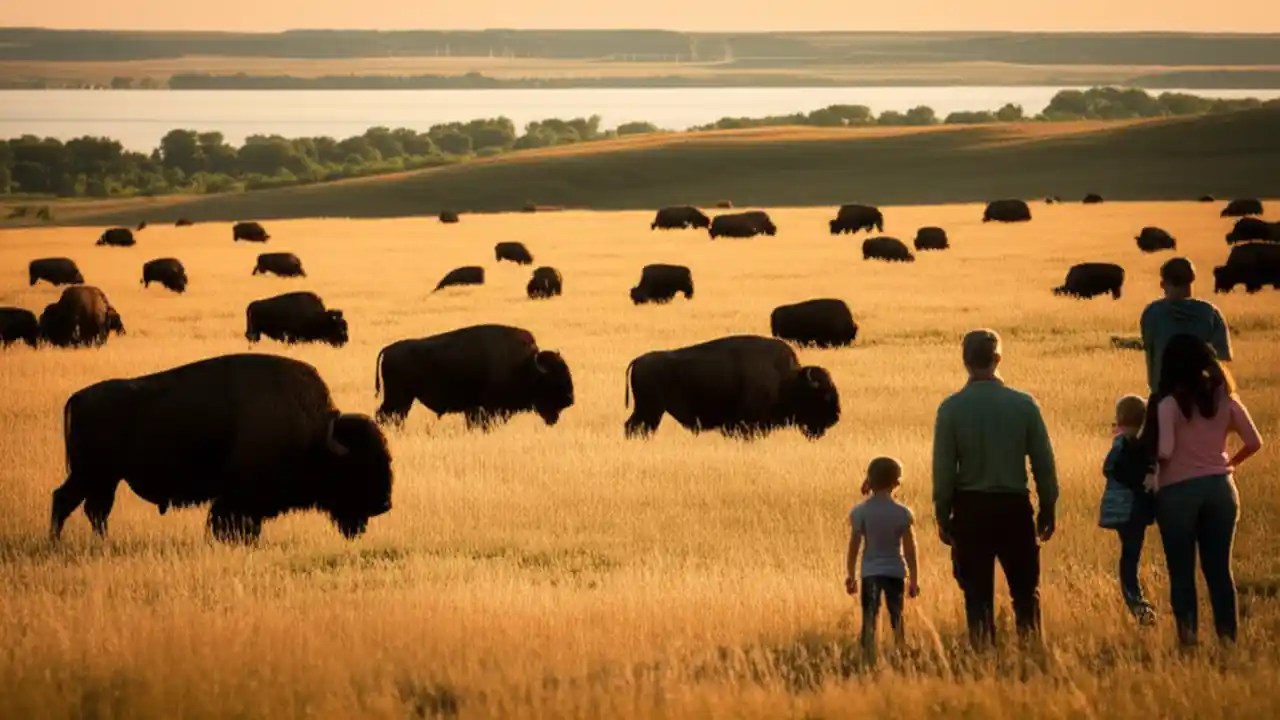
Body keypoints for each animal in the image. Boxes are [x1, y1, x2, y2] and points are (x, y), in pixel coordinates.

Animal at [51, 354, 392, 543]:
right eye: (358, 468)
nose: (384, 504)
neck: (316, 433)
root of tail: (78, 398)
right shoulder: (238, 497)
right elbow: (228, 521)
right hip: (92, 473)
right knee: (68, 501)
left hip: (104, 478)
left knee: (93, 509)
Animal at [375, 324, 574, 430]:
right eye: (554, 379)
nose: (570, 400)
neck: (526, 365)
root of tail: (388, 350)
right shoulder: (486, 409)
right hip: (398, 398)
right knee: (386, 415)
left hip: (403, 400)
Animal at [624, 335, 840, 439]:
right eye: (825, 395)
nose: (835, 418)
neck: (786, 379)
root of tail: (638, 360)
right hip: (649, 409)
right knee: (635, 427)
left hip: (649, 410)